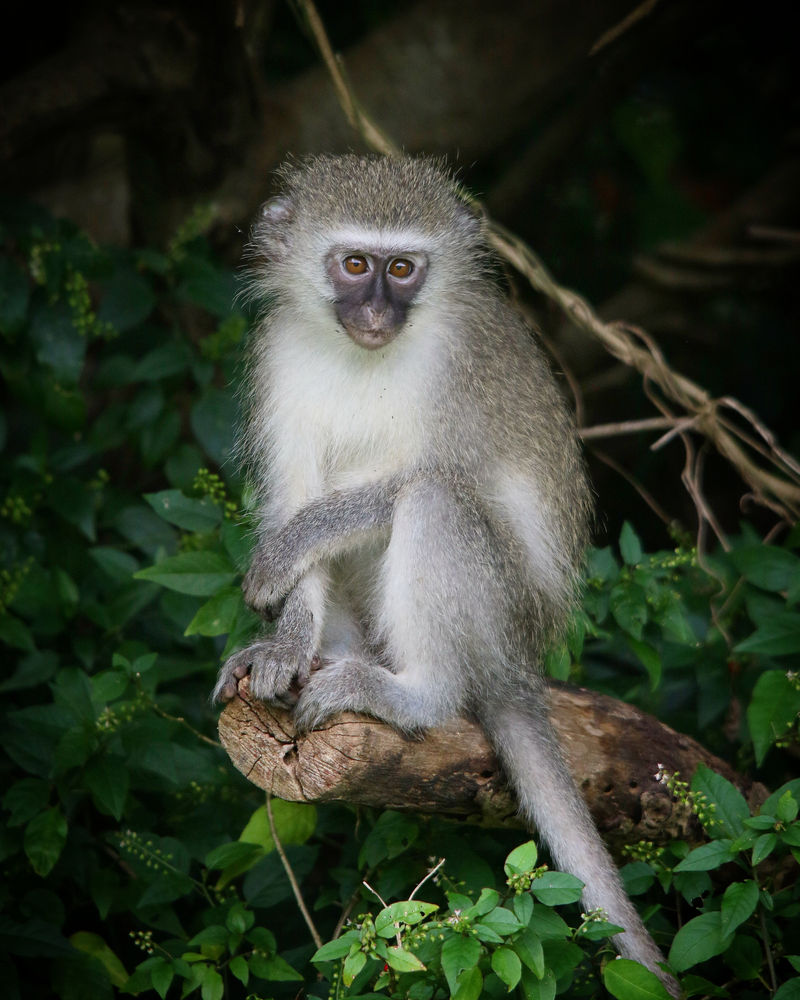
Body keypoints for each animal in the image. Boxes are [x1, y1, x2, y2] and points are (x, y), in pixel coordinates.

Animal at [213, 155, 680, 996]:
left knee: (435, 501)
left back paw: (413, 693)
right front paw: (284, 646)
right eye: (356, 265)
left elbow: (413, 488)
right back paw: (326, 656)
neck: (364, 357)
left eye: (403, 269)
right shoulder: (281, 358)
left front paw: (286, 552)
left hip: (505, 612)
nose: (376, 311)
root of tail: (519, 665)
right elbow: (300, 489)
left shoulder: (460, 369)